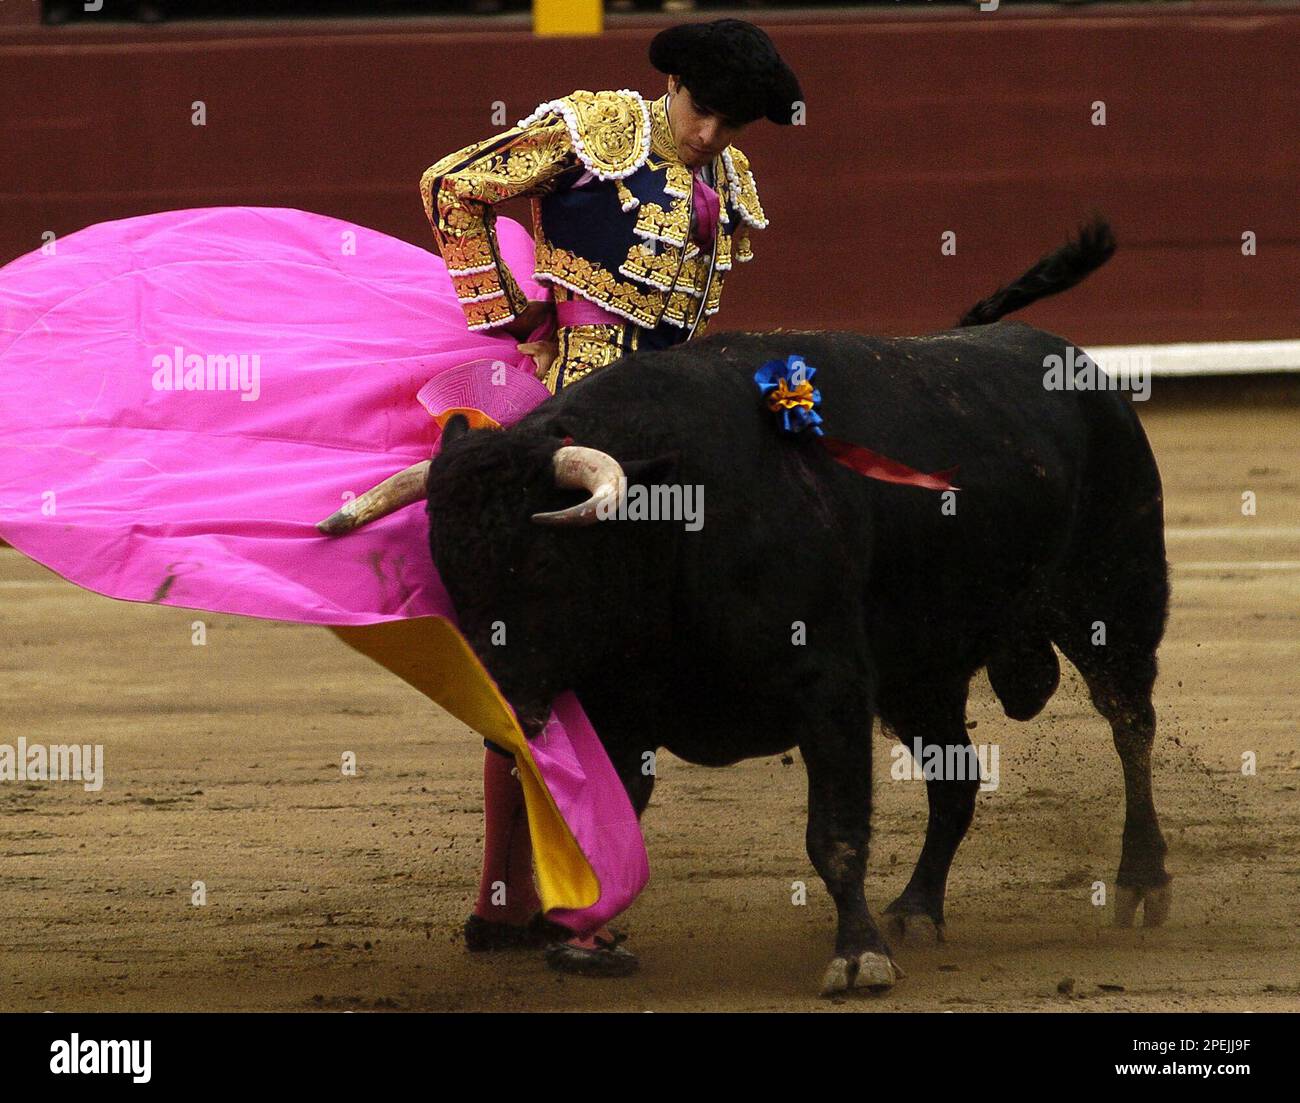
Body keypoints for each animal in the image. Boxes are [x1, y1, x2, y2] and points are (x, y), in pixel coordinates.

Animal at [368, 218, 1171, 995]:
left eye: (540, 561)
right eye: (447, 570)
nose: (498, 710)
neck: (676, 516)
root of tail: (1066, 361)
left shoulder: (830, 686)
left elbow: (835, 833)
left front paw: (858, 957)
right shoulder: (619, 706)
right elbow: (615, 816)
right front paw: (584, 938)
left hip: (1115, 602)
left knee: (1130, 725)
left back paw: (1142, 881)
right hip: (923, 673)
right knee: (956, 778)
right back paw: (917, 907)